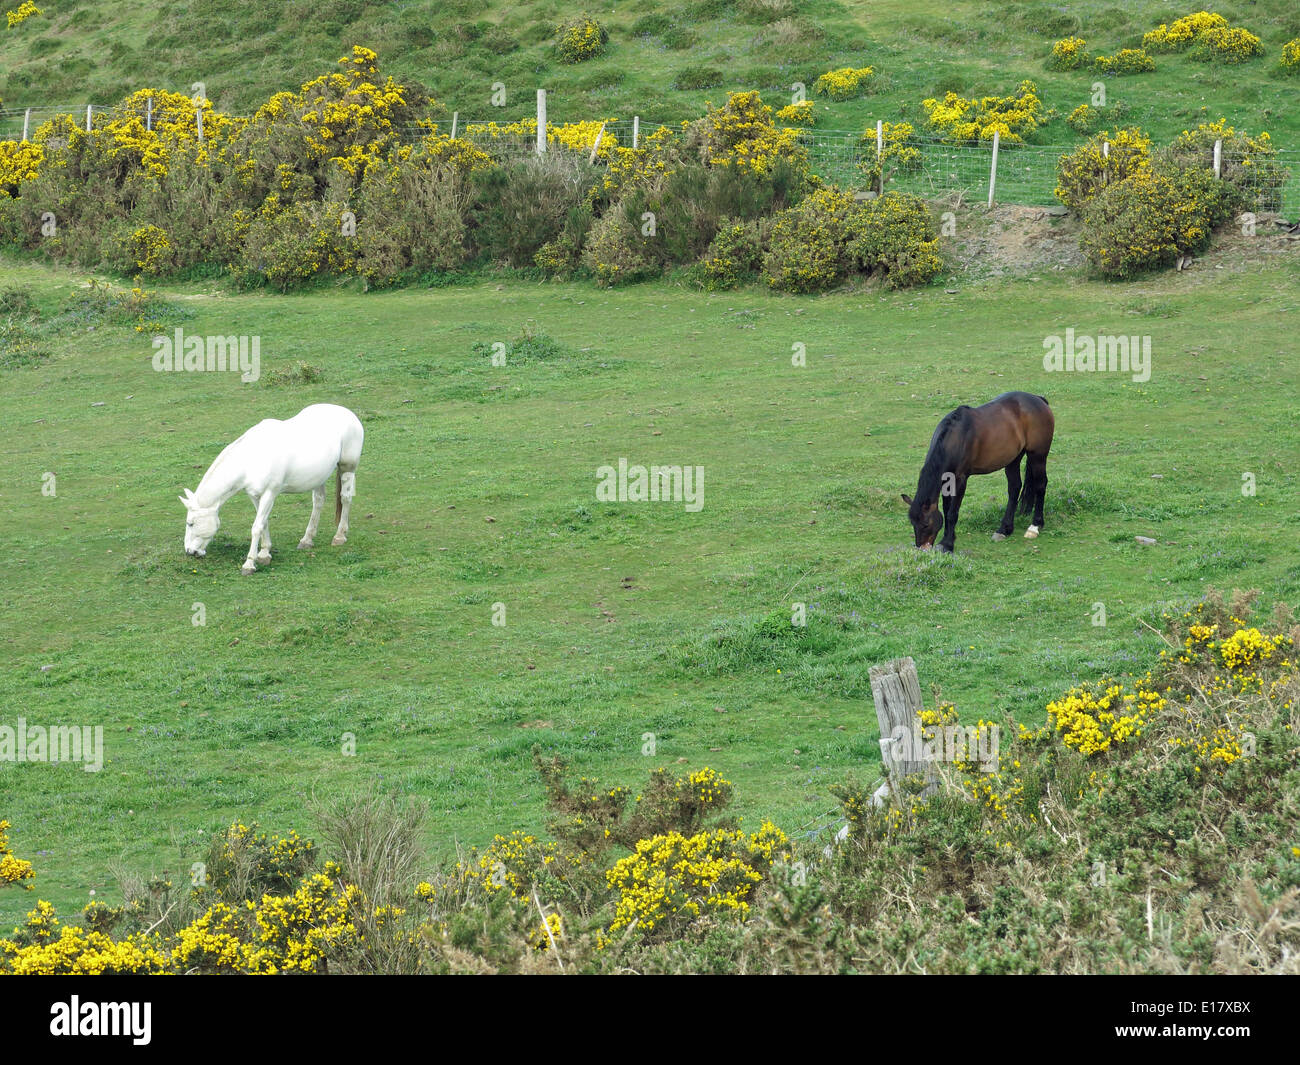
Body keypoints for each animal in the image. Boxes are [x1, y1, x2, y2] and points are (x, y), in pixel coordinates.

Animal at [180, 404, 364, 574]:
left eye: (190, 523)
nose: (190, 551)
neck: (250, 460)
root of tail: (348, 413)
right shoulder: (255, 496)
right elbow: (264, 522)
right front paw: (264, 554)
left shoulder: (270, 494)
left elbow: (256, 527)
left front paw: (249, 564)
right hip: (319, 476)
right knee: (318, 501)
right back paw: (307, 539)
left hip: (347, 467)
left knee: (345, 498)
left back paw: (339, 536)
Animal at [902, 392, 1053, 553]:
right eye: (912, 523)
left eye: (925, 524)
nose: (921, 548)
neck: (955, 439)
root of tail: (1039, 399)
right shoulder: (947, 480)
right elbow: (947, 509)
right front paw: (947, 540)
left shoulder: (960, 480)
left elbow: (952, 513)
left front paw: (947, 544)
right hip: (1013, 459)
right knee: (1014, 488)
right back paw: (1004, 529)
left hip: (1038, 455)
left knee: (1041, 485)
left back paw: (1035, 526)